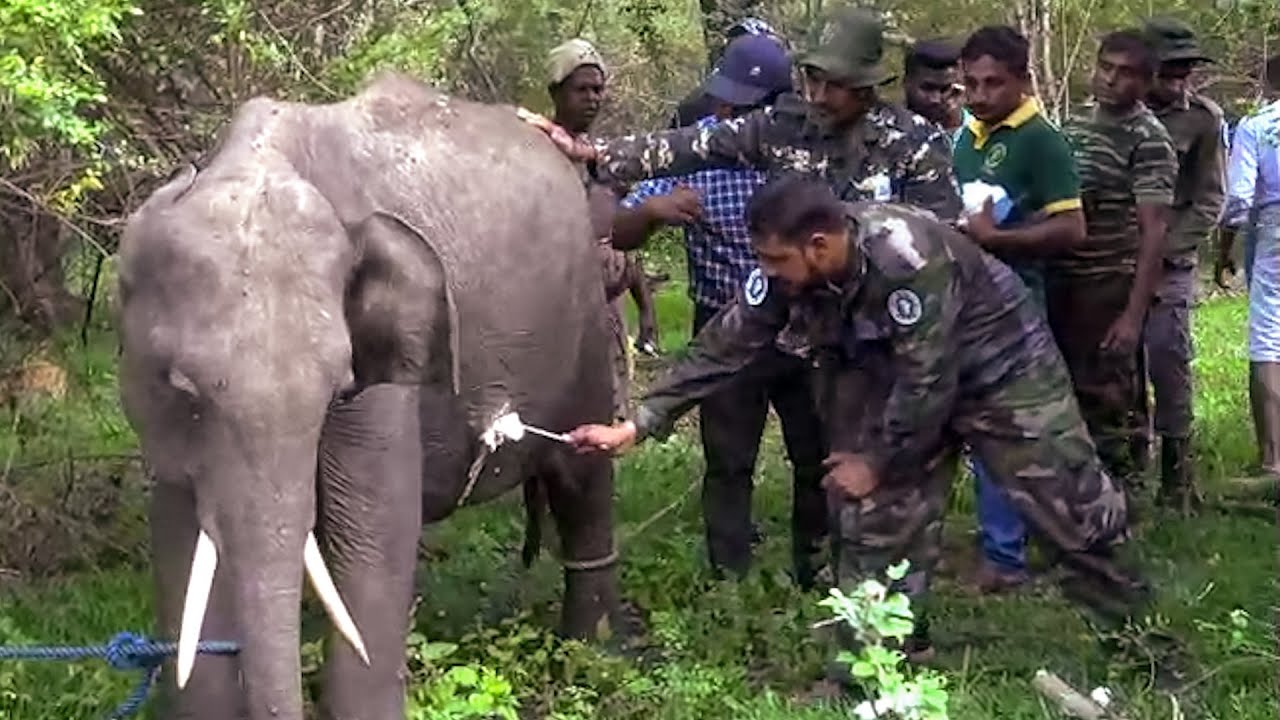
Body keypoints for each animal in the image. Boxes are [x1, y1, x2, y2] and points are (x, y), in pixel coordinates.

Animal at [115, 71, 622, 720]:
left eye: (338, 389)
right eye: (184, 389)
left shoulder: (383, 386)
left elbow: (373, 537)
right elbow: (181, 544)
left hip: (586, 323)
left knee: (583, 484)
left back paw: (588, 660)